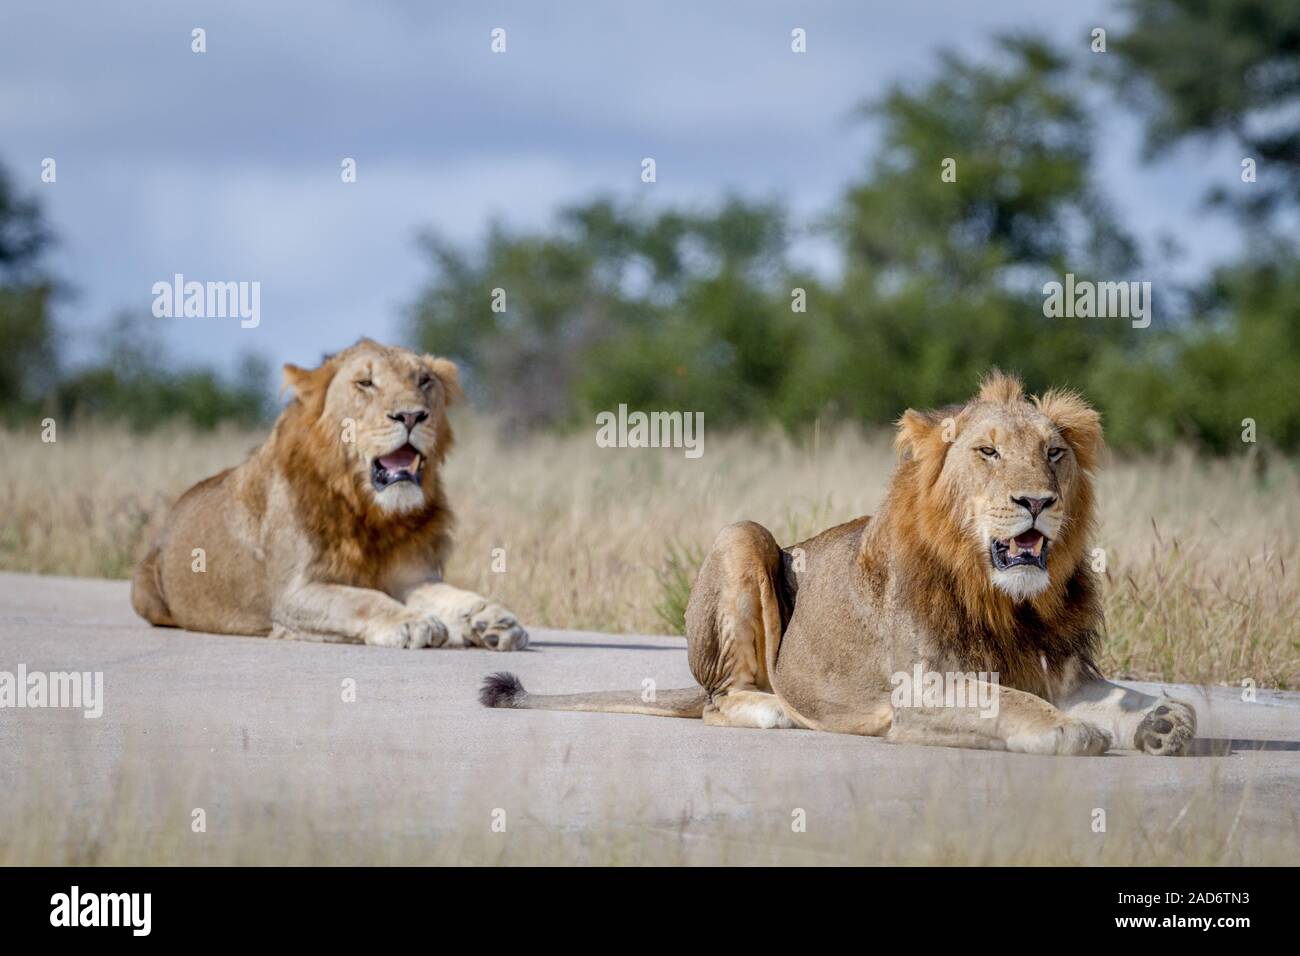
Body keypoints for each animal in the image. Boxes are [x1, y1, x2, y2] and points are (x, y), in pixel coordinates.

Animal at [130, 339, 528, 651]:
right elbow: (361, 599)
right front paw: (411, 621)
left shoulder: (412, 576)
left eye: (424, 380)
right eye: (365, 383)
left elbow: (454, 596)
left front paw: (494, 620)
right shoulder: (294, 593)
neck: (372, 511)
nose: (413, 416)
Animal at [480, 372, 1196, 755]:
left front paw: (1164, 722)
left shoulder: (1065, 670)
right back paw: (770, 708)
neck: (1005, 597)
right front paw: (1071, 731)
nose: (1038, 502)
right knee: (718, 700)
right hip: (744, 536)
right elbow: (1015, 701)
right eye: (988, 452)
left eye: (1053, 453)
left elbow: (1127, 697)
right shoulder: (919, 690)